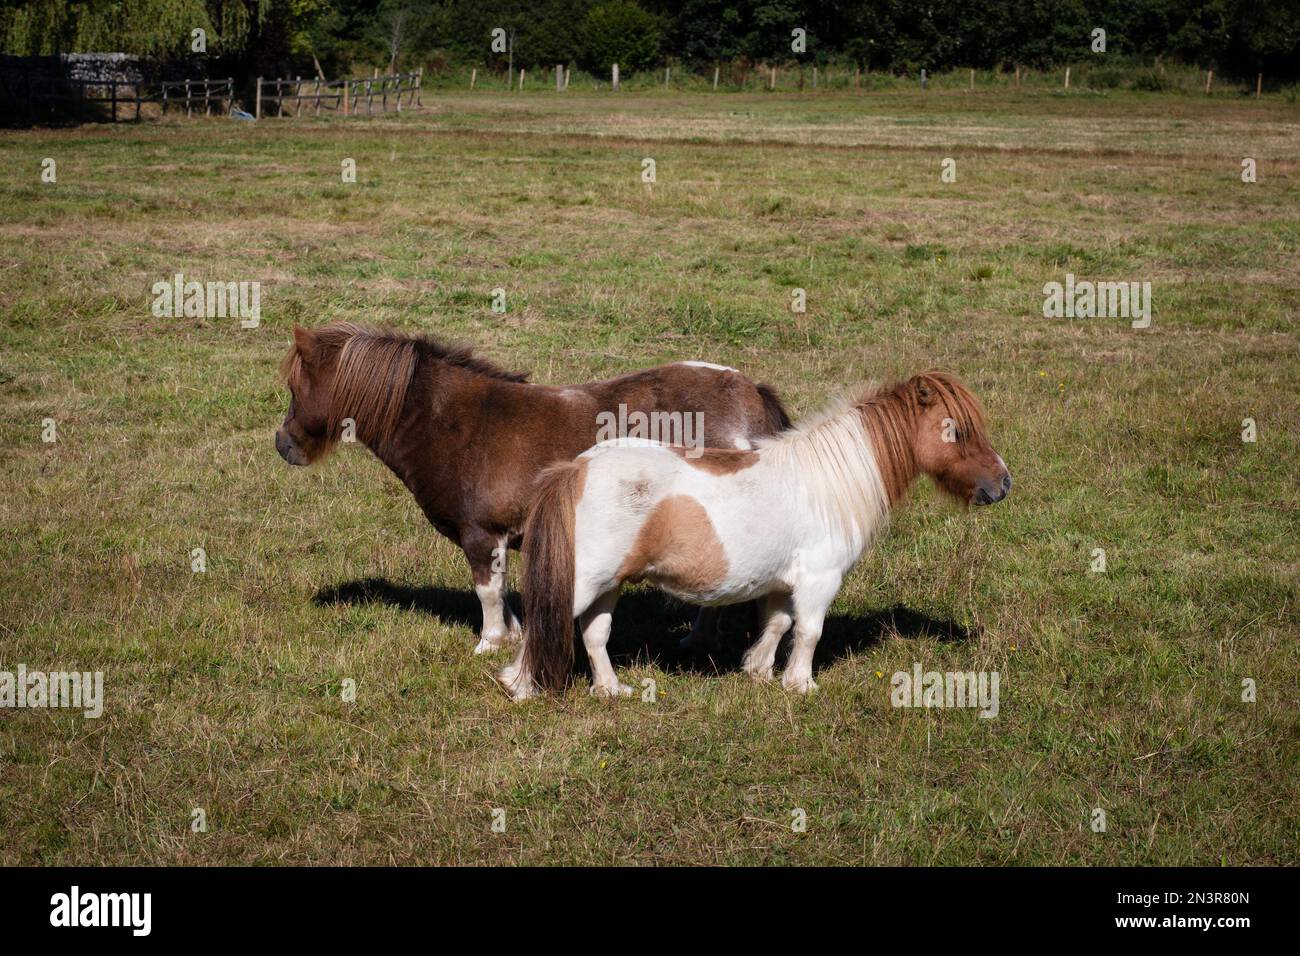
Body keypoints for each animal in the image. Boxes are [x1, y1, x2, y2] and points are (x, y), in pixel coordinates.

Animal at [274, 322, 790, 653]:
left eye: (296, 388)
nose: (283, 444)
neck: (455, 424)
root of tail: (750, 394)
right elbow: (502, 593)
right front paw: (513, 635)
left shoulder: (480, 535)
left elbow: (486, 593)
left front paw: (489, 643)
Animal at [500, 371, 1012, 700]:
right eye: (956, 430)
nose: (1003, 483)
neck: (826, 482)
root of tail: (576, 469)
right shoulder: (820, 580)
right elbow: (809, 630)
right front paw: (801, 685)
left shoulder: (783, 582)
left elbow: (778, 624)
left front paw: (760, 671)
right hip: (582, 582)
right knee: (543, 625)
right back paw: (521, 688)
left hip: (608, 584)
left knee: (595, 634)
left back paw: (610, 690)